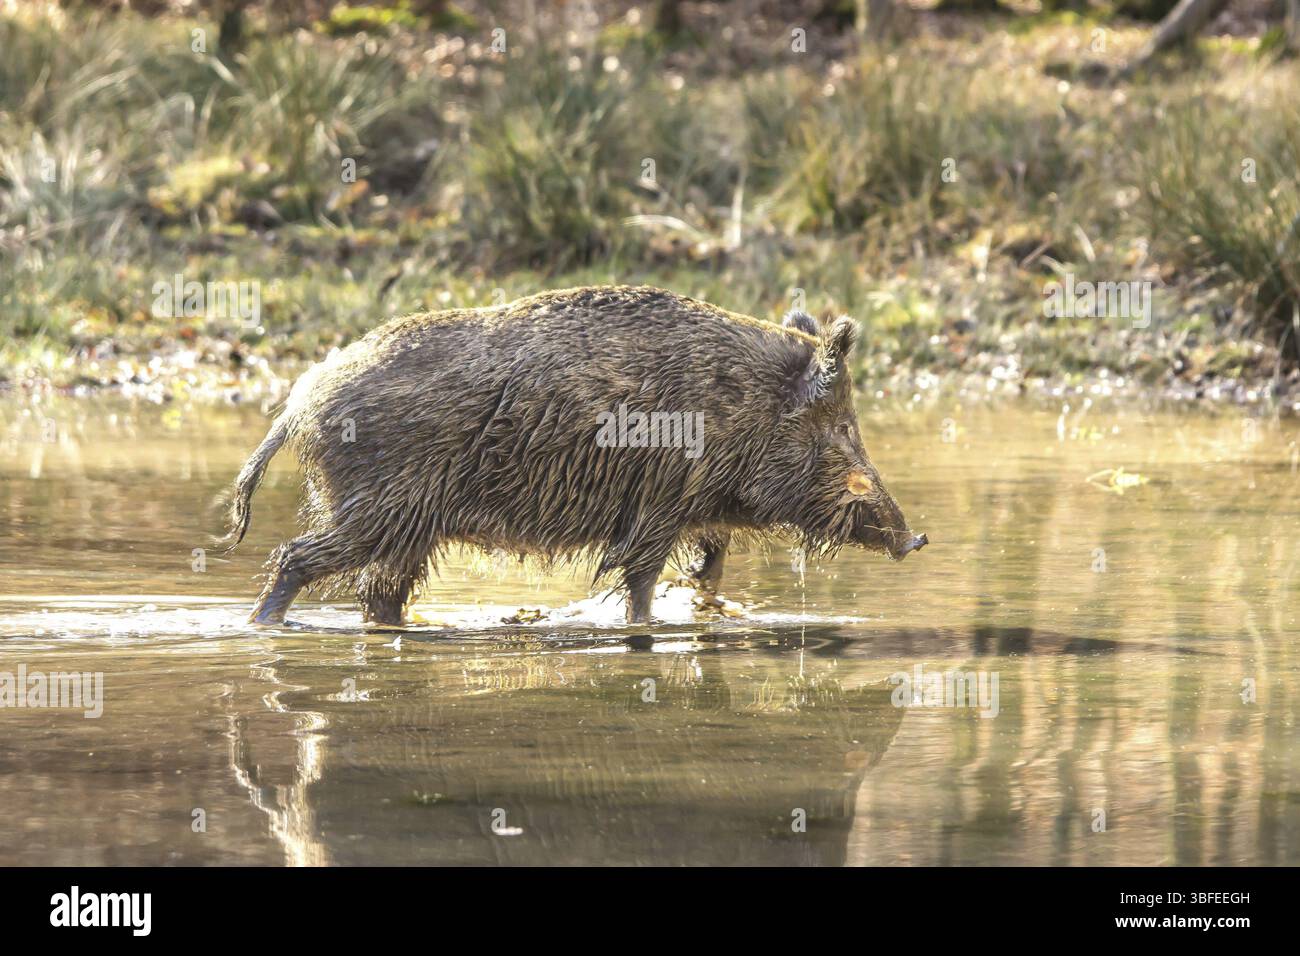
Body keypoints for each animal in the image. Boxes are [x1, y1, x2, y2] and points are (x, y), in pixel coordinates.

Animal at [224, 286, 926, 625]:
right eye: (842, 428)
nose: (915, 538)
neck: (741, 406)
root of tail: (298, 403)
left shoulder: (695, 508)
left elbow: (712, 560)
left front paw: (704, 601)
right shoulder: (657, 506)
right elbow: (640, 582)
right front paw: (647, 627)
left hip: (407, 529)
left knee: (379, 595)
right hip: (376, 508)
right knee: (295, 558)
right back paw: (263, 626)